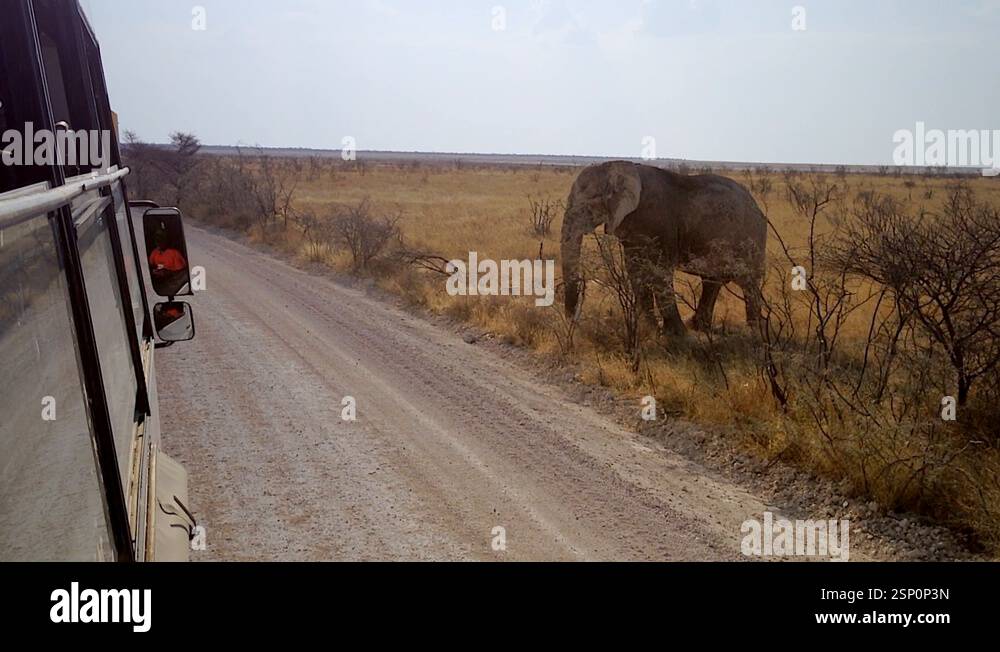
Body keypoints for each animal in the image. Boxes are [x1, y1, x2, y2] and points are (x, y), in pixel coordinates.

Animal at [560, 161, 767, 336]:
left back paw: (753, 332)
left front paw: (676, 335)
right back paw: (699, 327)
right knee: (712, 281)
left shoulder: (658, 222)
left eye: (589, 206)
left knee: (748, 282)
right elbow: (635, 271)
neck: (615, 167)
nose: (574, 320)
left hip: (751, 237)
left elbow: (660, 272)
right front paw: (650, 329)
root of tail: (756, 205)